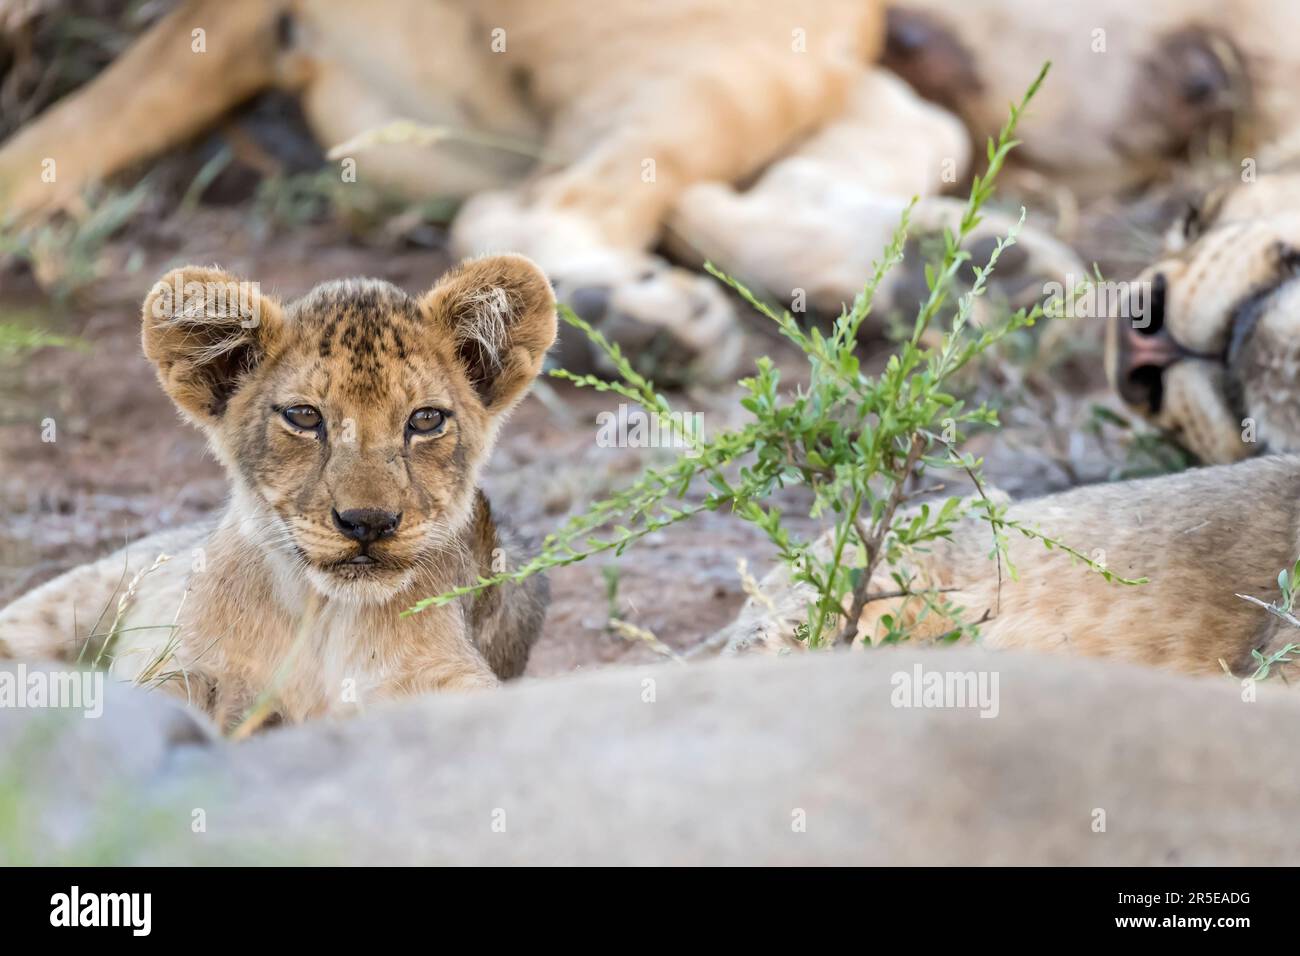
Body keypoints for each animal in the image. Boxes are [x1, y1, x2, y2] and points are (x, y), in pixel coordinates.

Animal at [0, 254, 556, 730]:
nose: (368, 522)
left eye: (425, 420)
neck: (324, 615)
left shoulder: (451, 675)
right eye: (304, 417)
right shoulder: (180, 664)